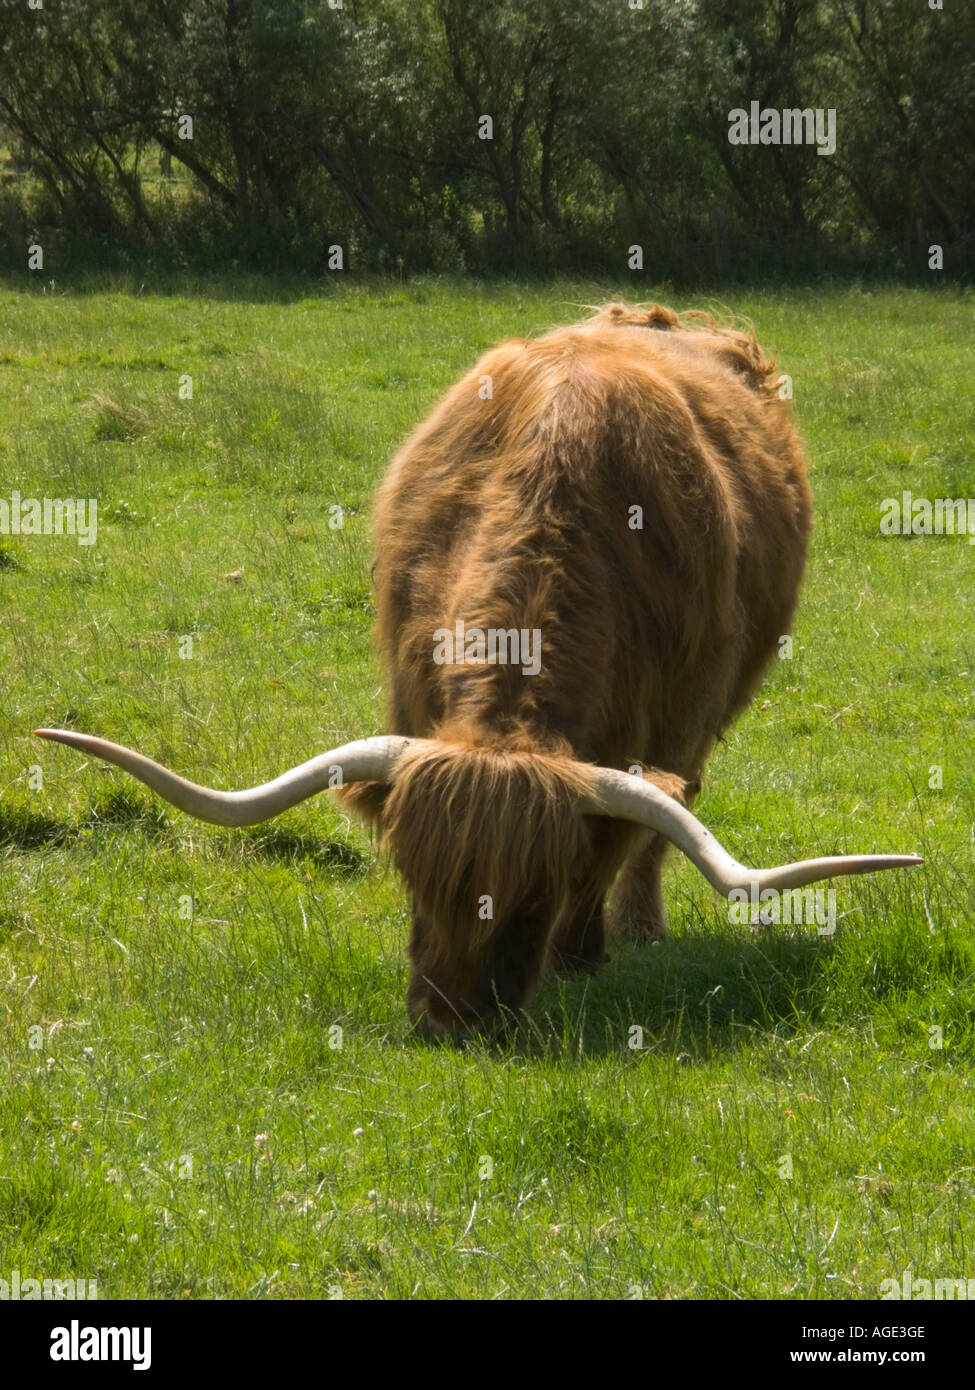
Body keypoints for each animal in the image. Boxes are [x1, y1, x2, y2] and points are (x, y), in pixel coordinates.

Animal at [36, 303, 921, 1037]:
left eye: (531, 897)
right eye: (413, 875)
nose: (451, 1021)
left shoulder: (662, 728)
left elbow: (616, 848)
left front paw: (580, 957)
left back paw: (639, 929)